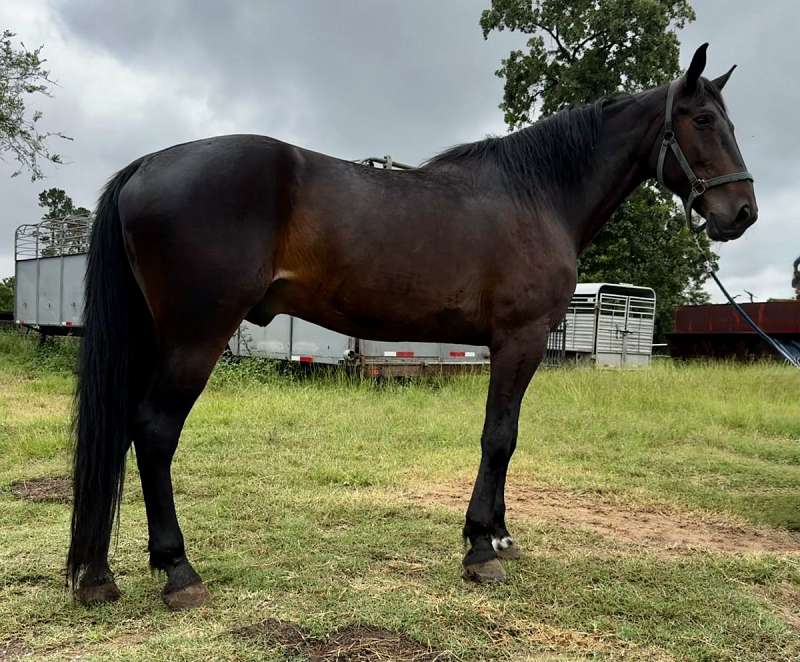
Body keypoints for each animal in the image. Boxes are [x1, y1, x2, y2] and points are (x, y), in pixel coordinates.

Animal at [67, 44, 756, 609]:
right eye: (701, 121)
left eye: (729, 122)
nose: (742, 212)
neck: (536, 194)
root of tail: (146, 165)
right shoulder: (520, 340)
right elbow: (498, 437)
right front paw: (479, 548)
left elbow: (507, 437)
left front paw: (499, 535)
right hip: (194, 337)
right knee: (154, 432)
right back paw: (179, 573)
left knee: (121, 431)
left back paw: (97, 575)